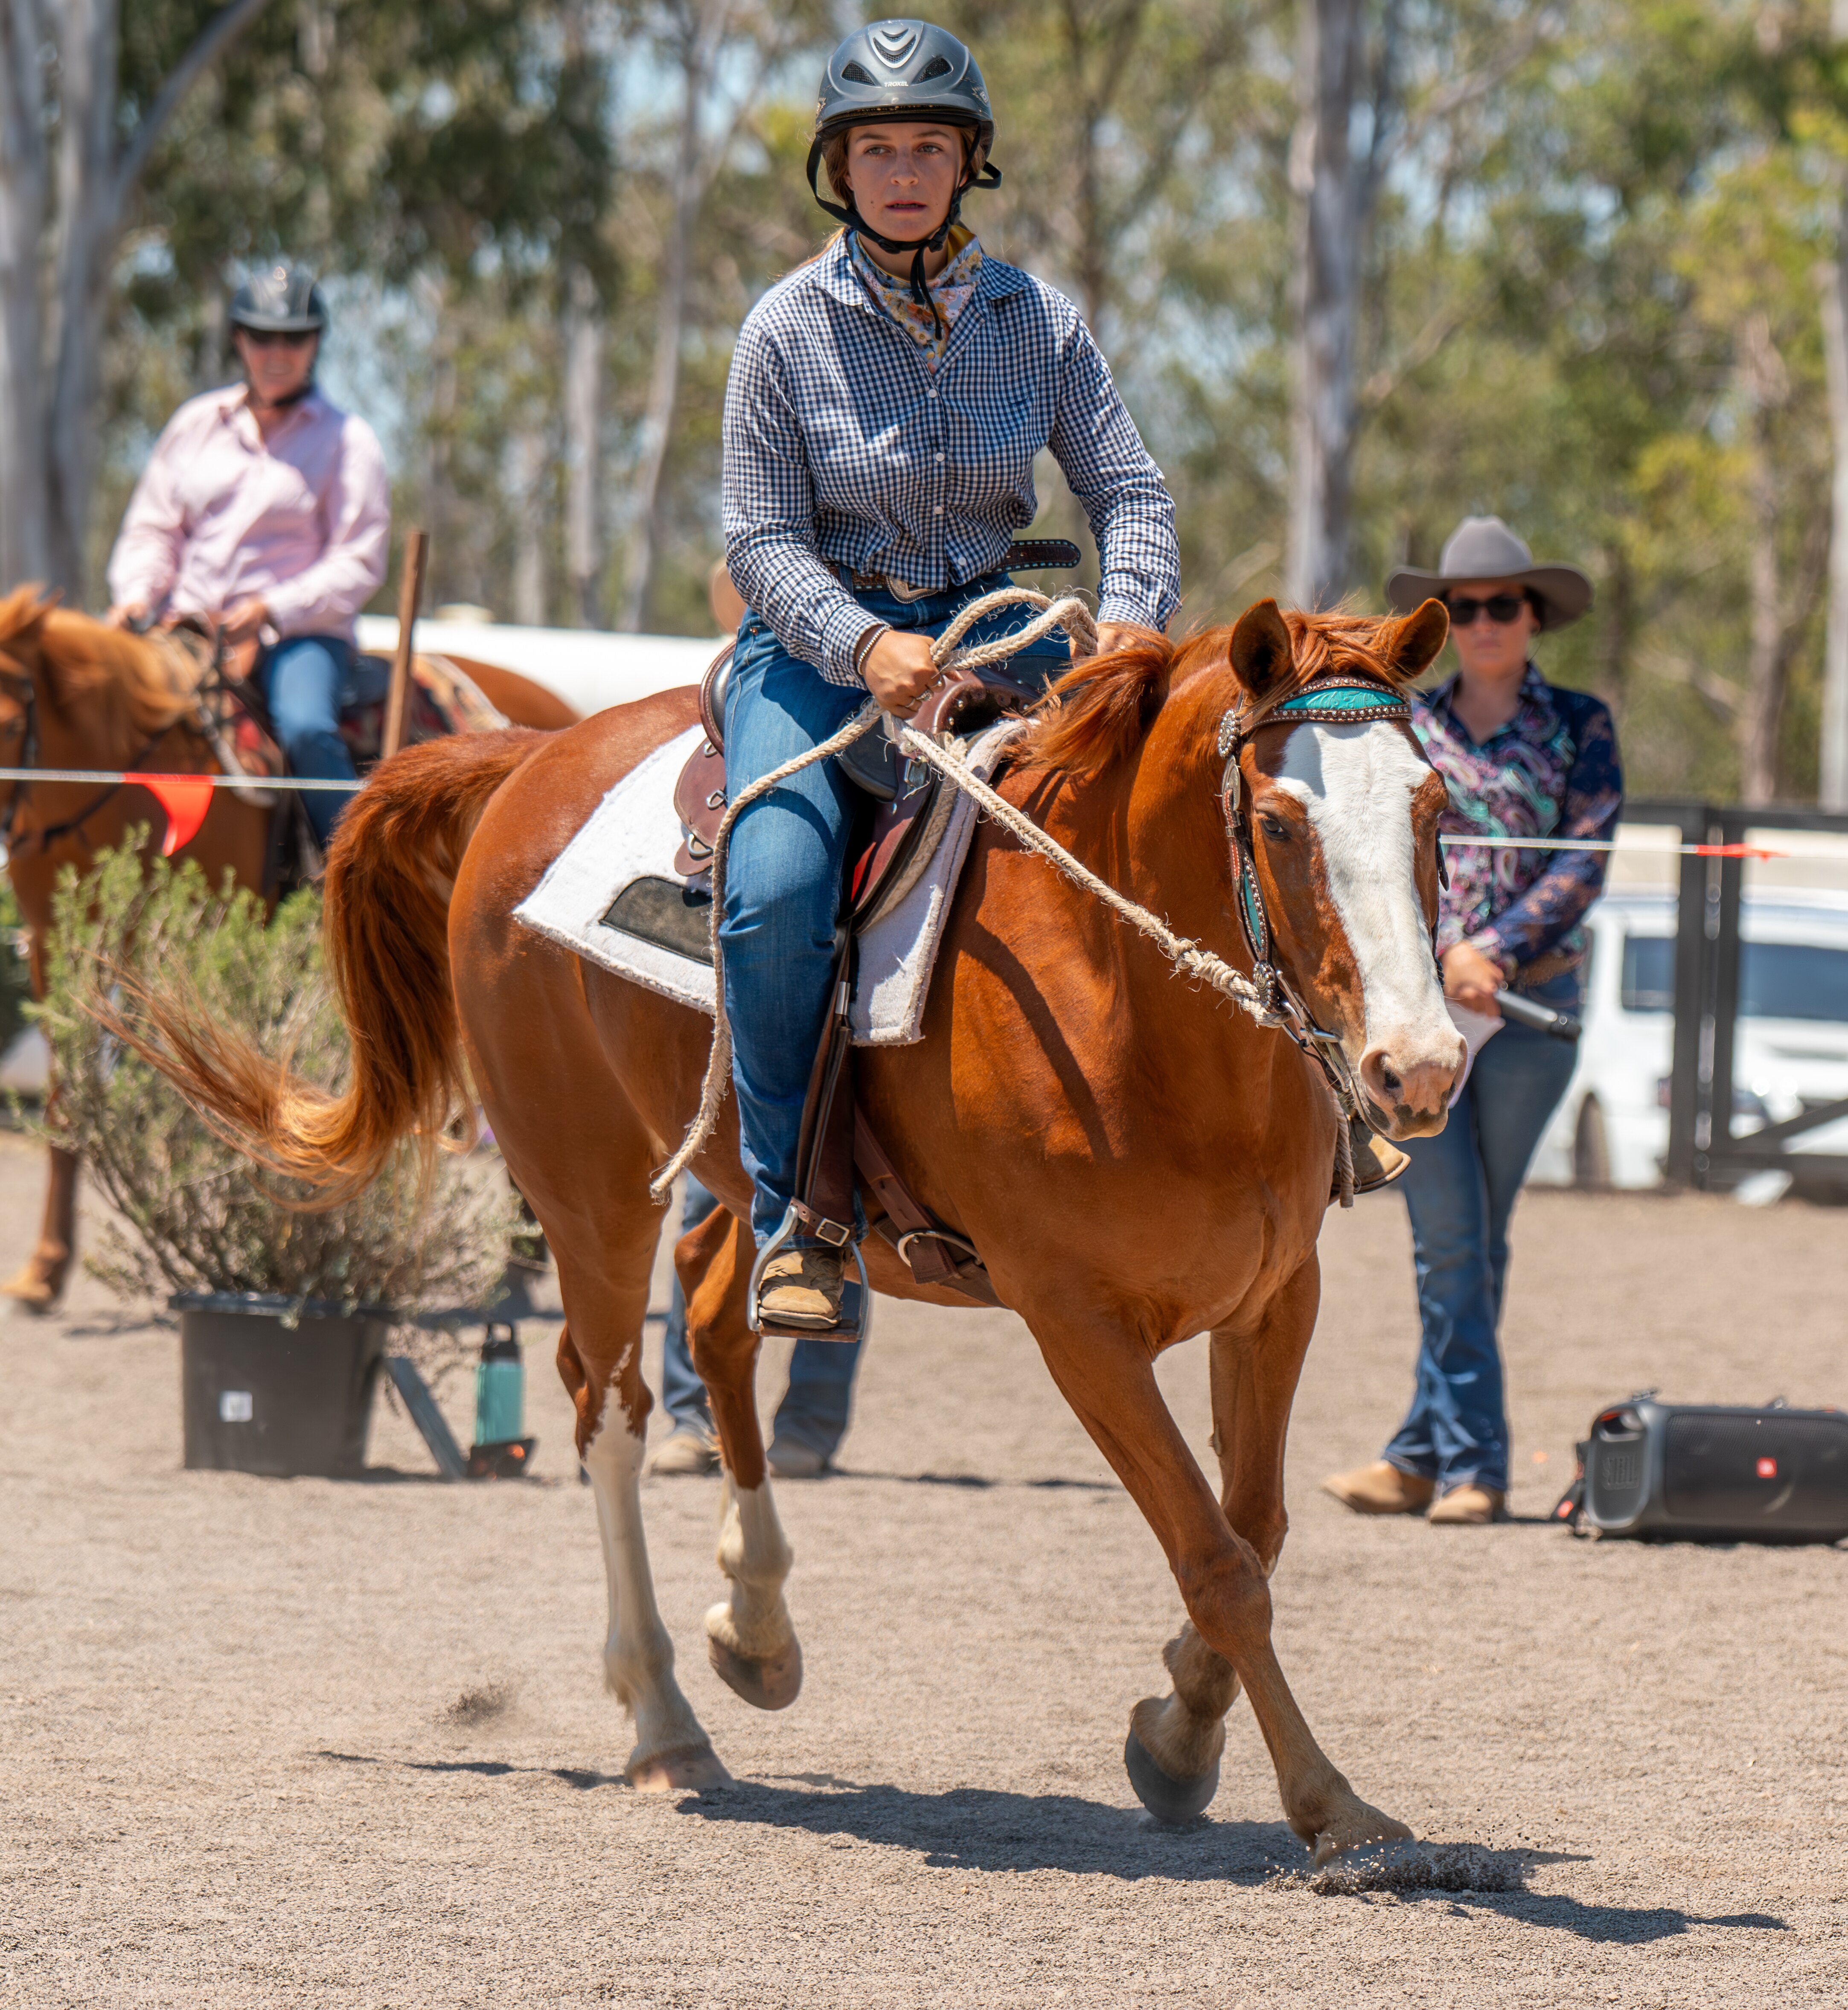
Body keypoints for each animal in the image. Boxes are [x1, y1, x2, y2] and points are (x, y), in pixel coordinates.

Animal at [121, 596, 1466, 1864]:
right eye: (1280, 822)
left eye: (1434, 807)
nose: (1420, 1066)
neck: (1123, 998)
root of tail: (530, 755)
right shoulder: (1078, 1328)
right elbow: (1219, 1560)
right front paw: (1330, 1809)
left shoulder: (1274, 1298)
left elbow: (1256, 1531)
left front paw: (1180, 1731)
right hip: (588, 1191)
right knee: (607, 1406)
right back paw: (664, 1722)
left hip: (758, 1181)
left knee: (722, 1315)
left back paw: (755, 1629)